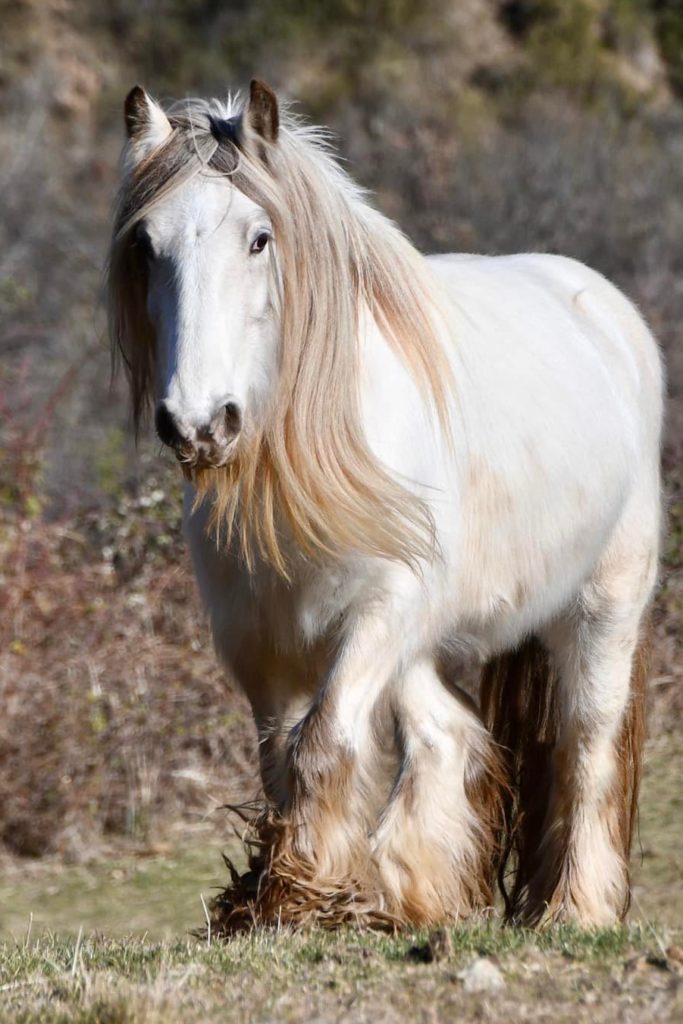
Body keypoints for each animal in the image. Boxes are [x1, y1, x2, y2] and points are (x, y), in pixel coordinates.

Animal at [108, 79, 663, 930]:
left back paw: (575, 908)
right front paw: (283, 895)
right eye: (146, 245)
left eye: (259, 239)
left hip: (602, 606)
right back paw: (421, 889)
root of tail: (606, 311)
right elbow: (282, 760)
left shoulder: (378, 611)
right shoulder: (257, 641)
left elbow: (324, 744)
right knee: (447, 736)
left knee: (585, 744)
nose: (199, 424)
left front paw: (301, 891)